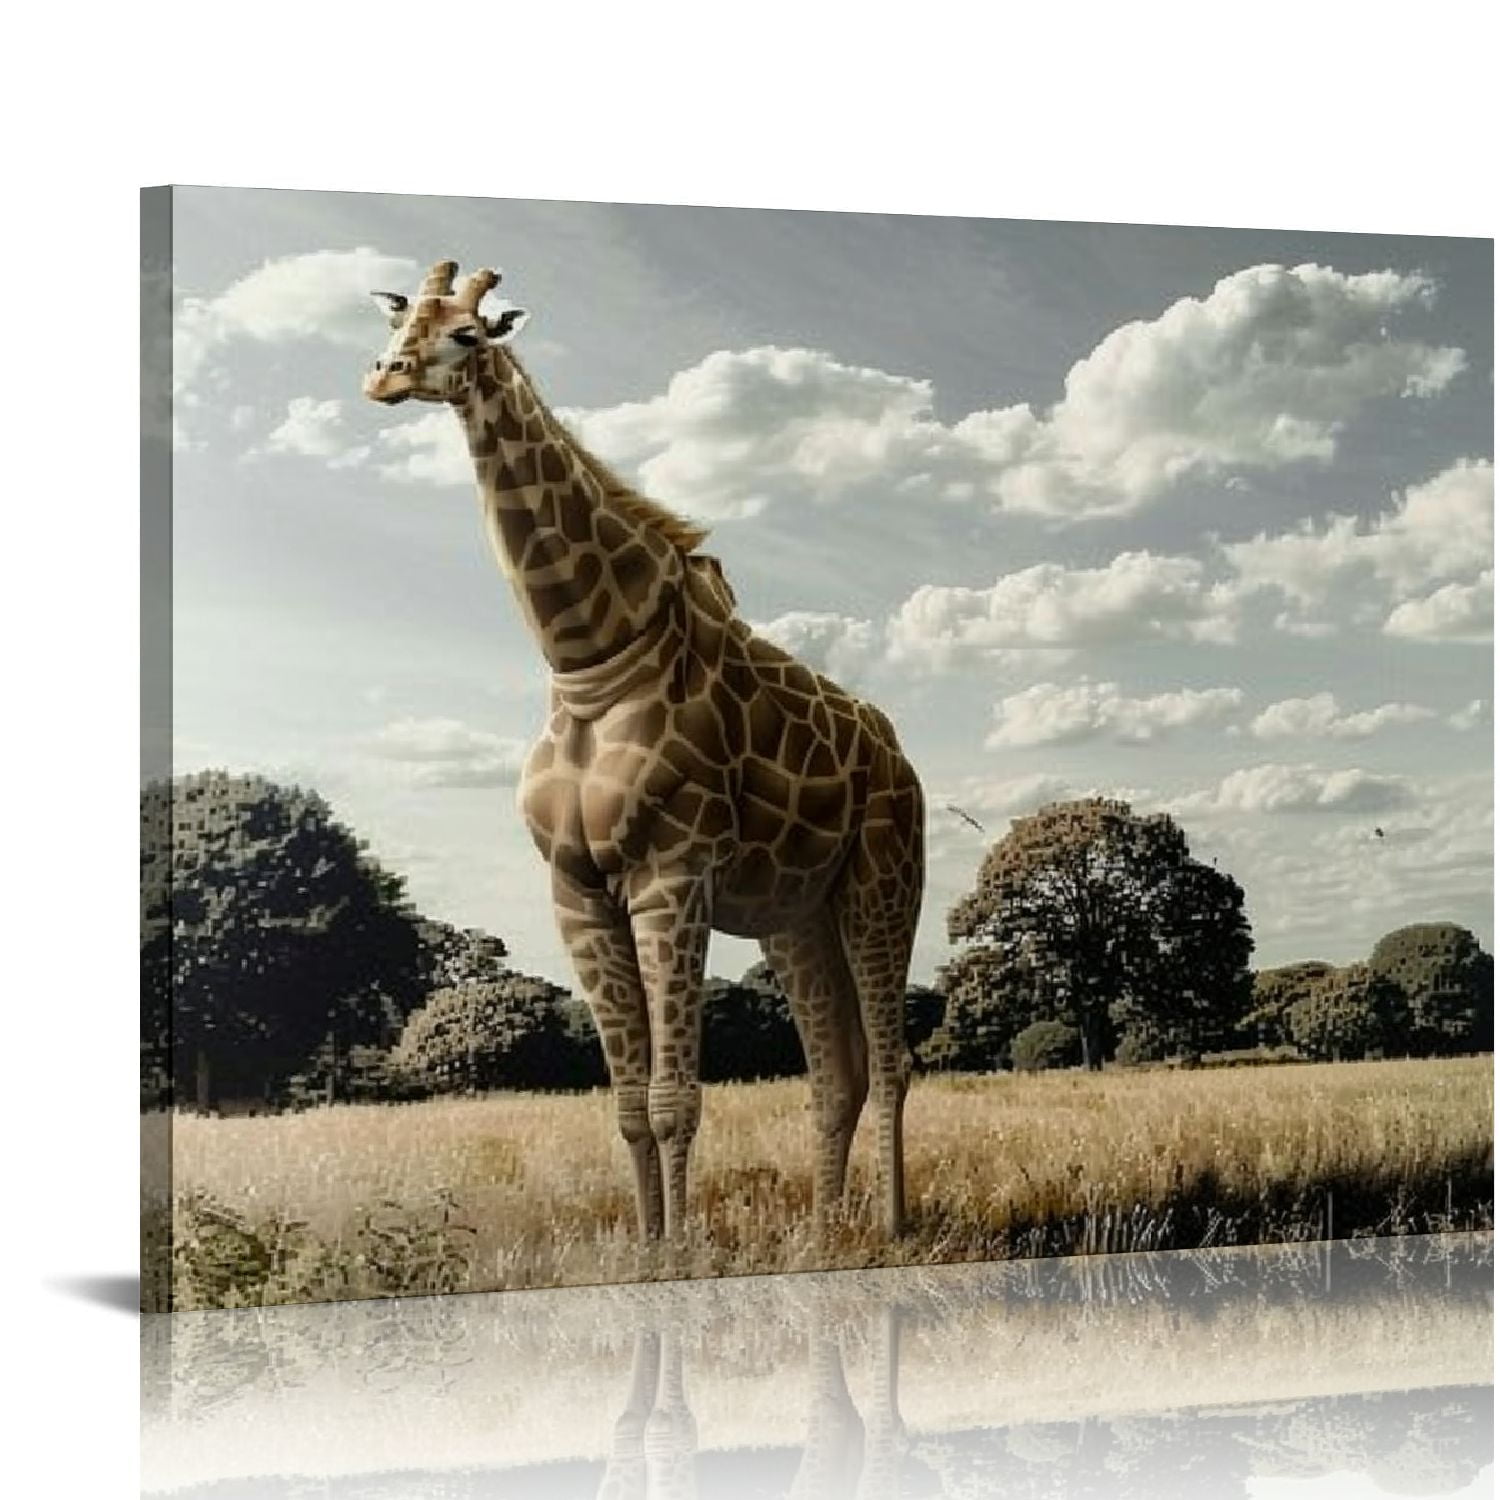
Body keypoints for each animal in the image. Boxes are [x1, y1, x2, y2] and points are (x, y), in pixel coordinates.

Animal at [363, 260, 925, 1244]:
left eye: (467, 334)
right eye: (403, 322)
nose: (385, 376)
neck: (587, 661)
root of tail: (904, 760)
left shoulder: (673, 873)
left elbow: (674, 1099)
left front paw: (684, 1247)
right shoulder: (576, 888)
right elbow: (627, 1104)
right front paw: (648, 1244)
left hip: (880, 879)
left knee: (892, 1066)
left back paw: (891, 1229)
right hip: (796, 916)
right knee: (837, 1073)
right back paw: (826, 1229)